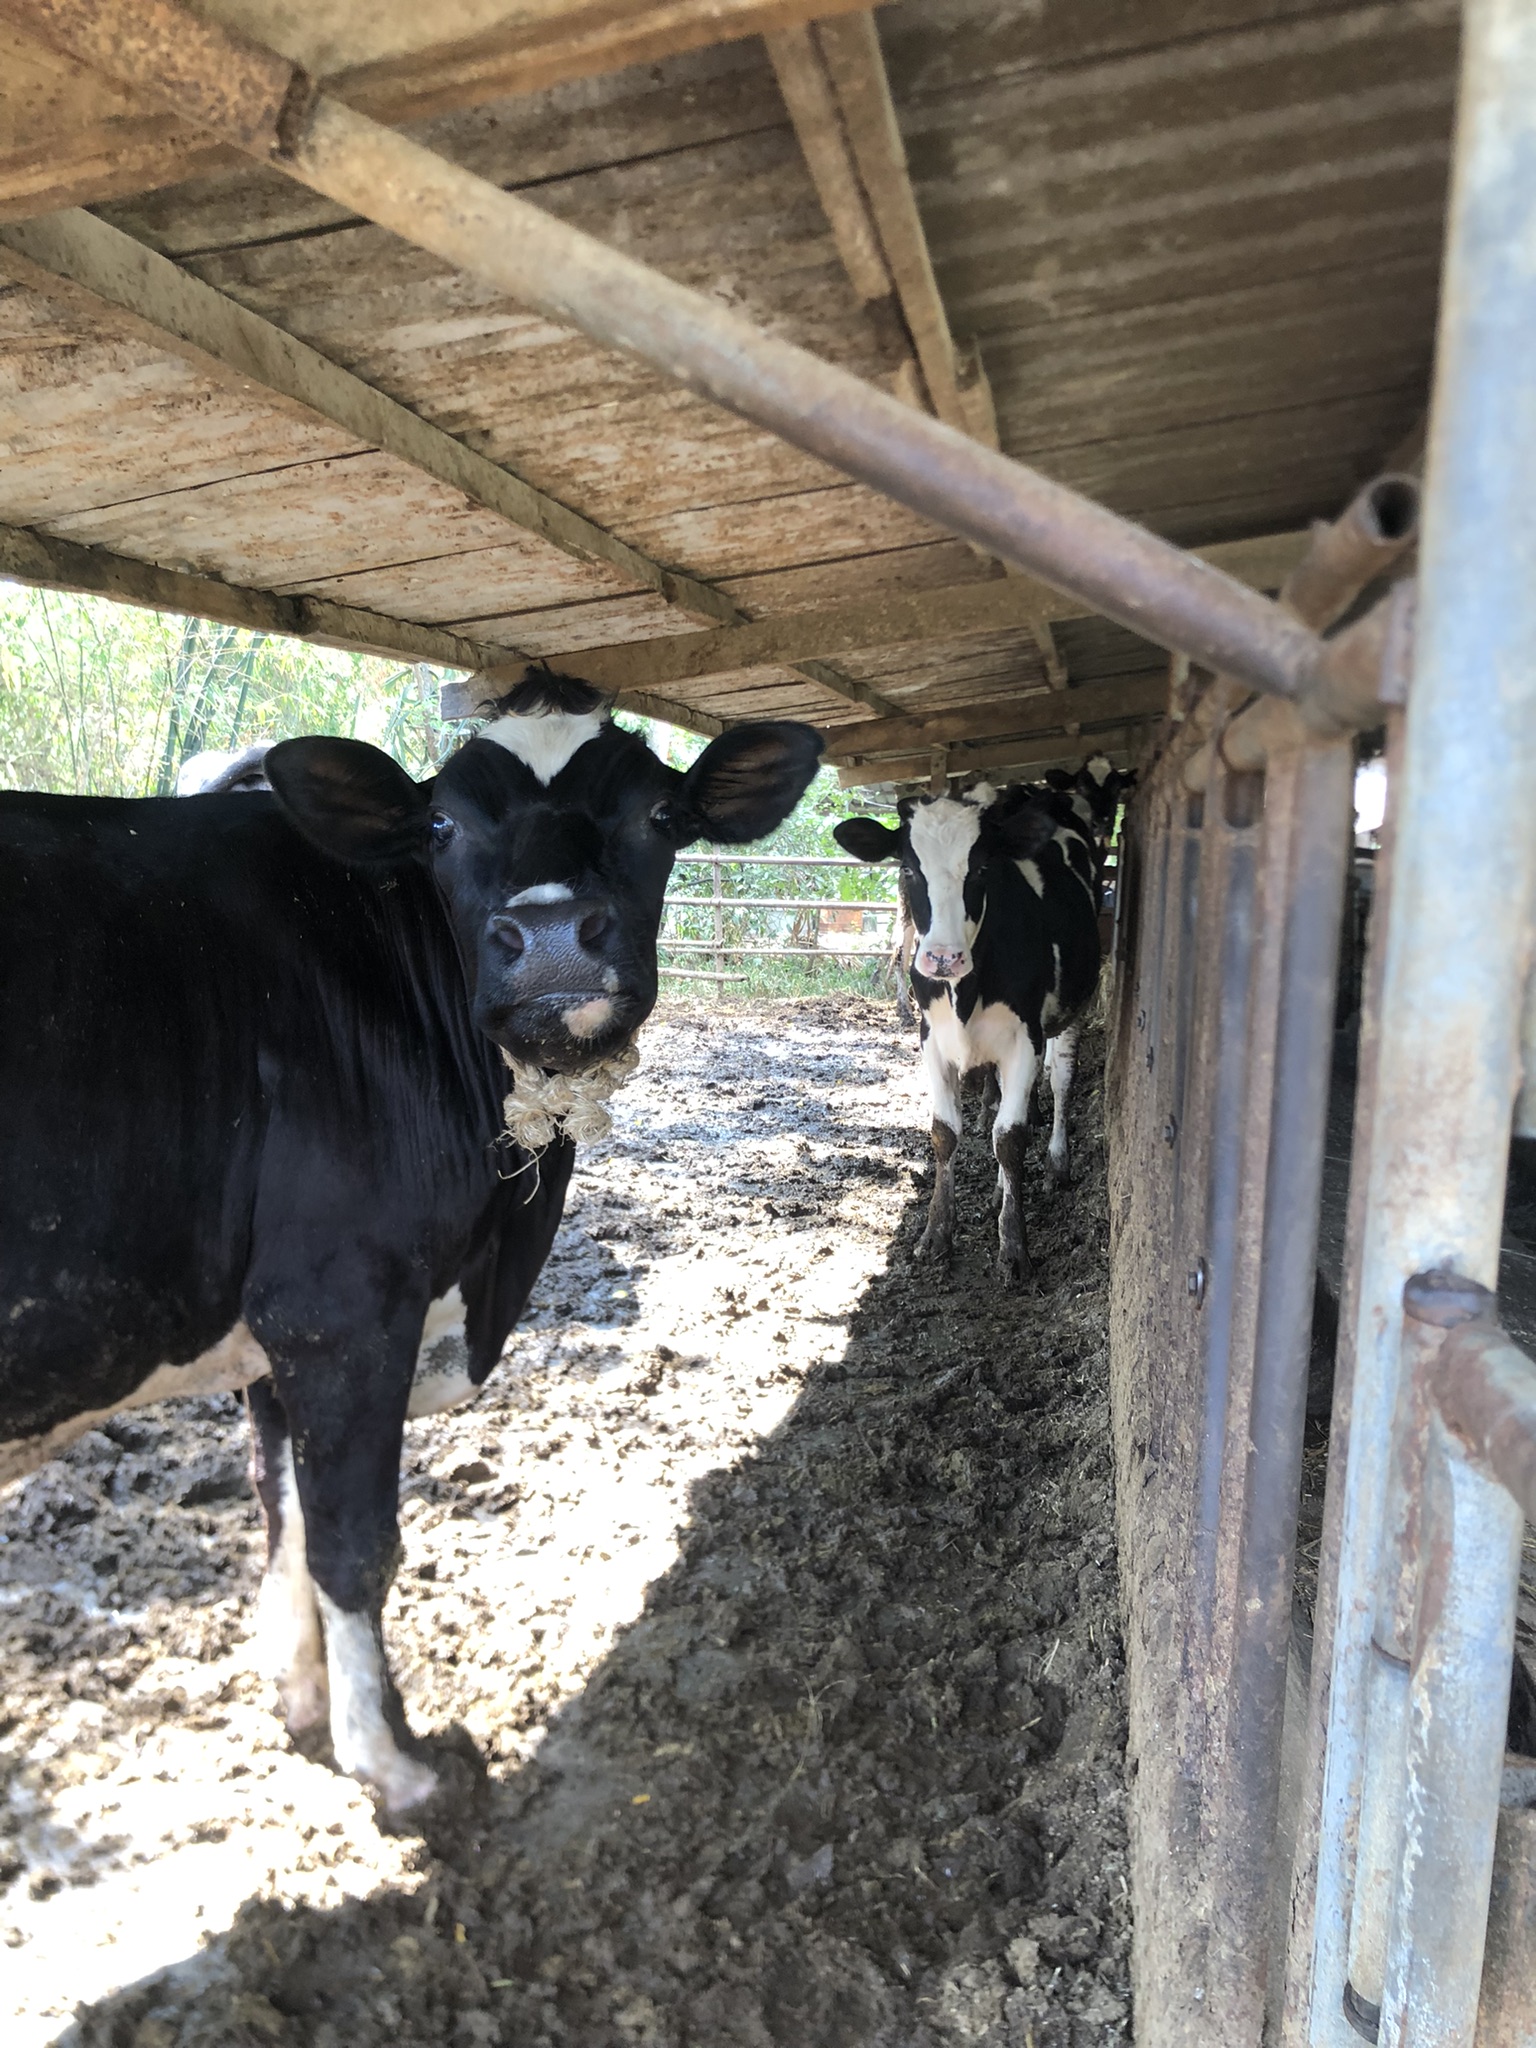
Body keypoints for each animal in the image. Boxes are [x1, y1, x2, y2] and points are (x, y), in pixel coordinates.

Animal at [1, 671, 821, 1810]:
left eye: (660, 813)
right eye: (441, 825)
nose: (552, 932)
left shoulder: (284, 1333)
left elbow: (285, 1509)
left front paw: (306, 1702)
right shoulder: (338, 1304)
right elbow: (353, 1545)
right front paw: (392, 1762)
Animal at [834, 781, 1101, 1288]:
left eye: (979, 869)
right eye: (907, 867)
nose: (943, 958)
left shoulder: (1025, 1039)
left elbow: (1010, 1138)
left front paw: (1014, 1250)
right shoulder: (932, 1038)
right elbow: (945, 1132)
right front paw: (936, 1234)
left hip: (1072, 1009)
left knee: (1060, 1079)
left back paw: (1056, 1163)